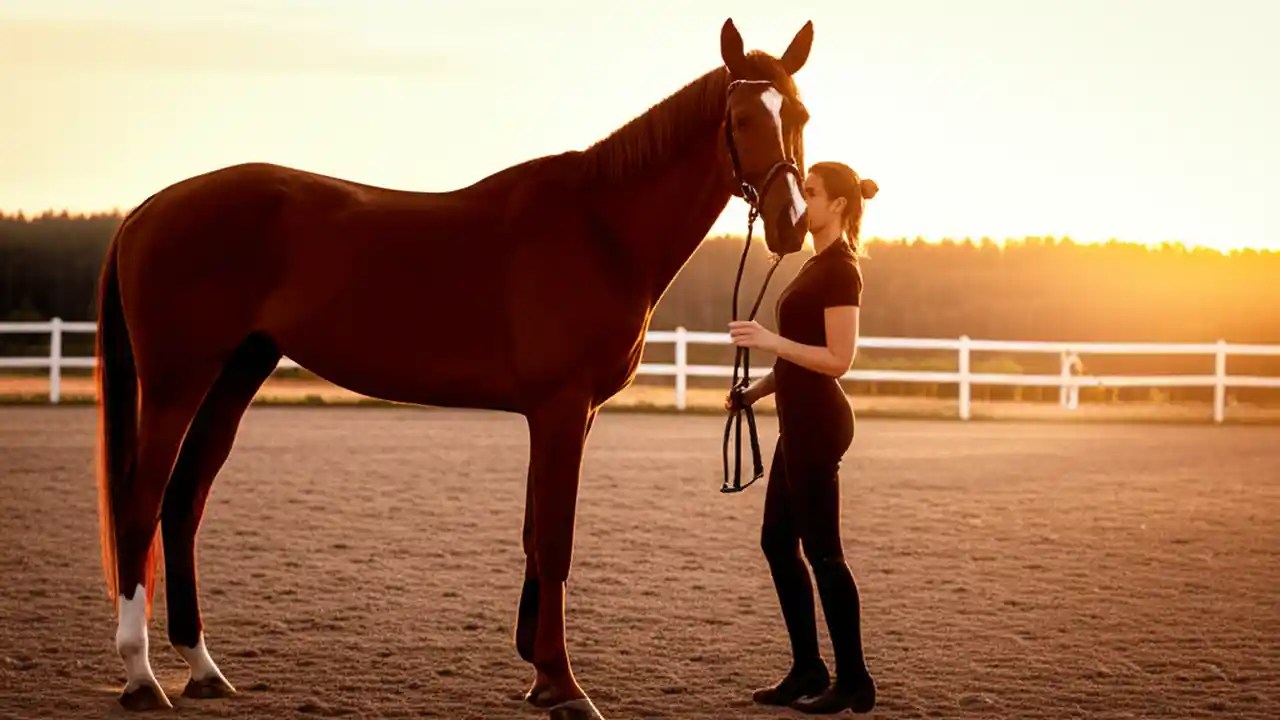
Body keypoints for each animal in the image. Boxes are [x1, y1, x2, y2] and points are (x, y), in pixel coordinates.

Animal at [94, 18, 815, 719]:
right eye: (742, 118)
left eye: (801, 114)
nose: (791, 224)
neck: (600, 228)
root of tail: (147, 209)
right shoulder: (560, 407)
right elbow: (555, 540)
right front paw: (566, 686)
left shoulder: (570, 414)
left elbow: (534, 534)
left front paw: (540, 677)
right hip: (176, 384)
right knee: (141, 505)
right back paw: (141, 677)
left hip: (238, 372)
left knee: (183, 503)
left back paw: (202, 668)